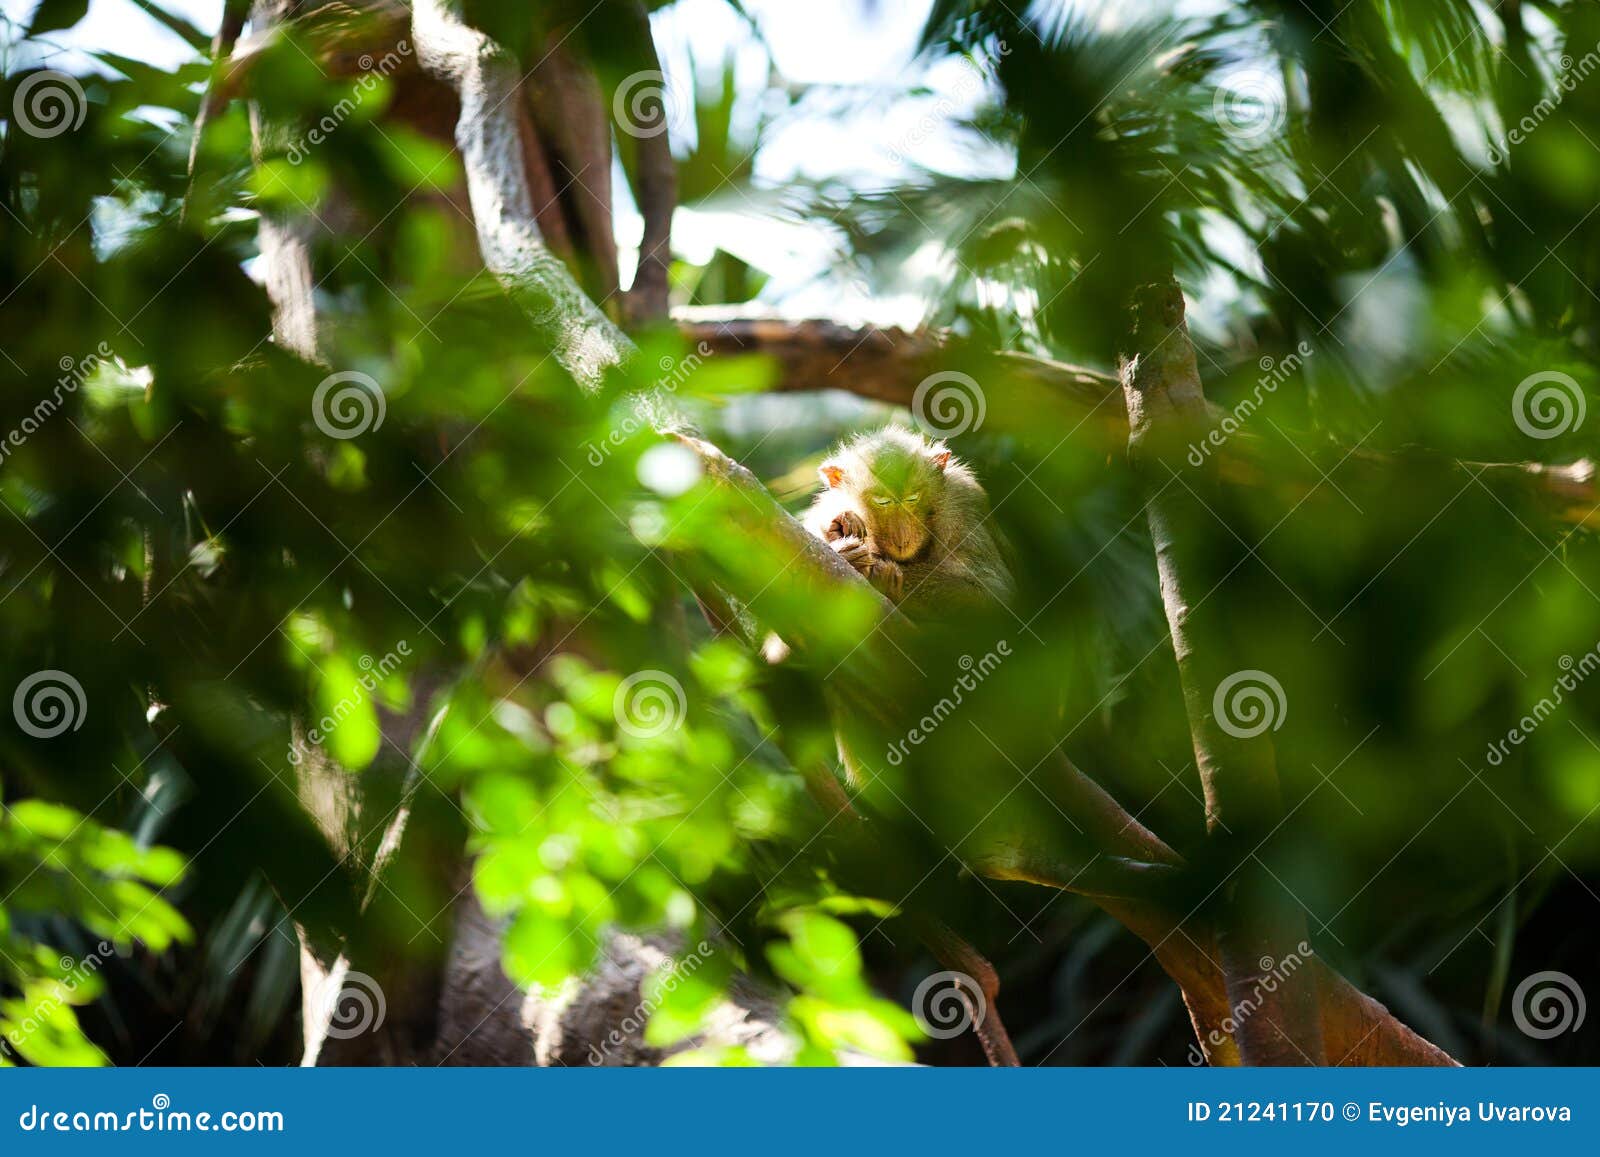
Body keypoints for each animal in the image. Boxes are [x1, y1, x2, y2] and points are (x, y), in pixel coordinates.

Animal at [802, 426, 1013, 619]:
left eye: (912, 498)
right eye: (882, 502)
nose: (902, 538)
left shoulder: (959, 510)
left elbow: (993, 596)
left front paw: (878, 572)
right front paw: (839, 531)